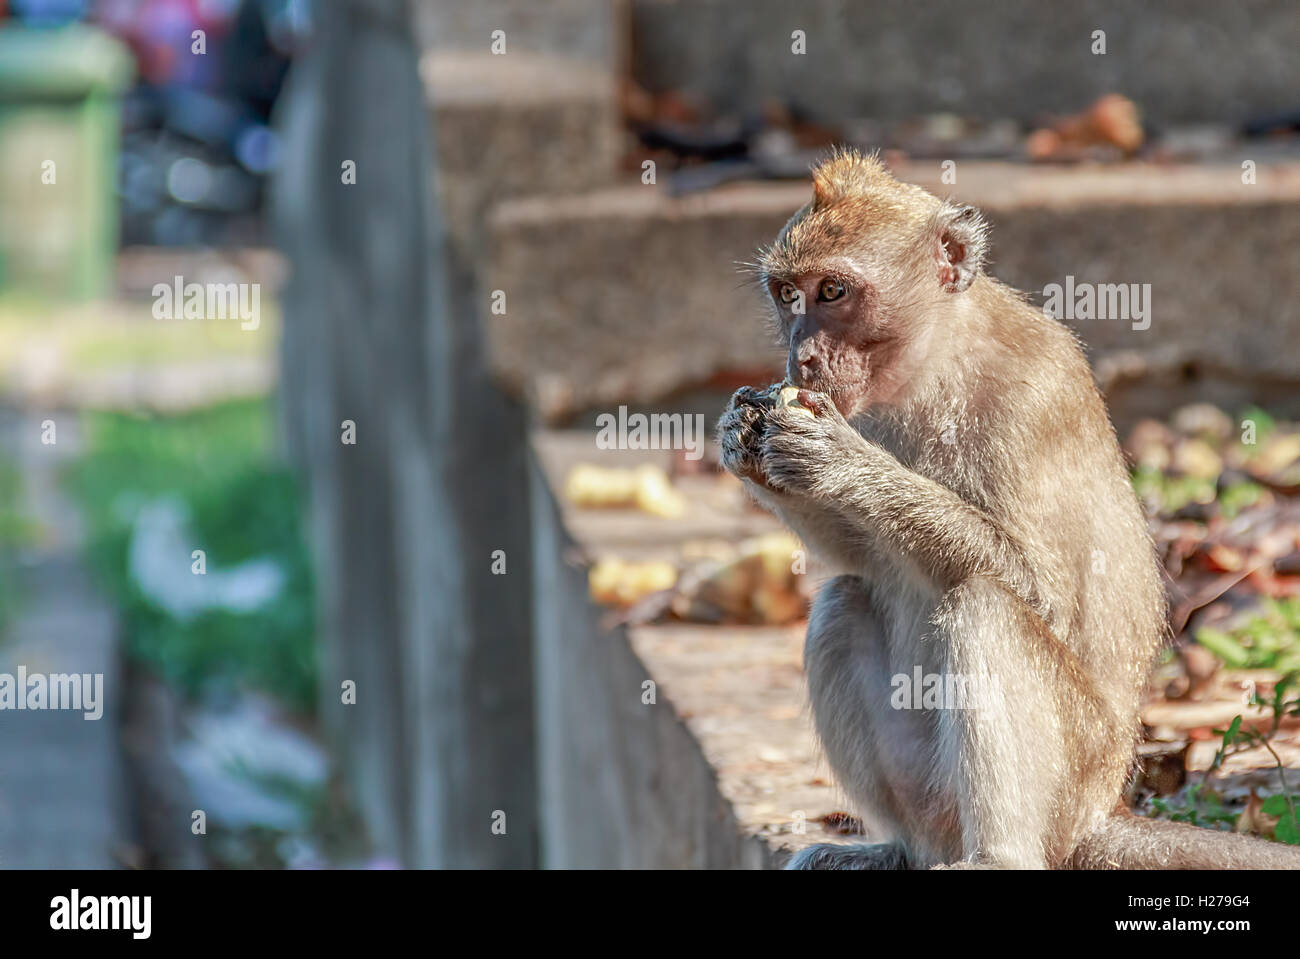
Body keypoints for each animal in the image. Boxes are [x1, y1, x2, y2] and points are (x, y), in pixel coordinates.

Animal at [717, 148, 1300, 869]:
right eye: (786, 294)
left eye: (832, 292)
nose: (801, 355)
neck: (935, 362)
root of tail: (1099, 812)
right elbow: (864, 558)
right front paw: (743, 438)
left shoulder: (1031, 399)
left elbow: (1040, 590)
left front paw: (837, 461)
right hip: (930, 796)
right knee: (844, 601)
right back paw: (898, 851)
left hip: (1073, 776)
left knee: (984, 605)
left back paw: (1000, 855)